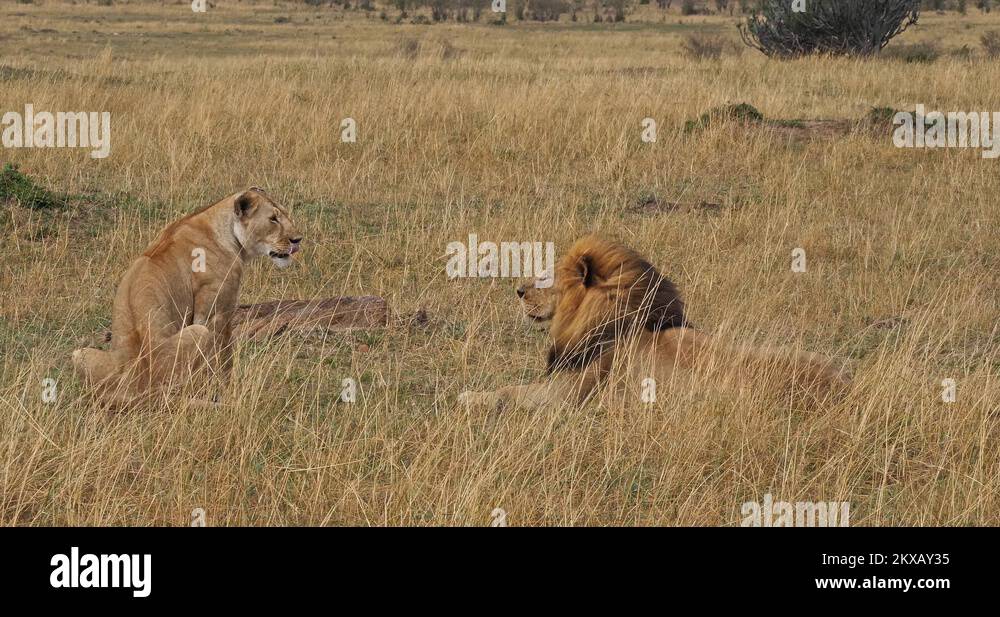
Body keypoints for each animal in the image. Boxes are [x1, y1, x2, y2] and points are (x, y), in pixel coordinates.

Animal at [71, 187, 303, 406]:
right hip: (198, 334)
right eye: (273, 219)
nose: (298, 239)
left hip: (78, 354)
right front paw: (228, 388)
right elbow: (224, 357)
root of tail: (139, 389)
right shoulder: (214, 313)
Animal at [458, 235, 852, 410]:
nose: (518, 290)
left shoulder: (570, 393)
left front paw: (468, 396)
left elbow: (510, 391)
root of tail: (846, 389)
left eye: (546, 279)